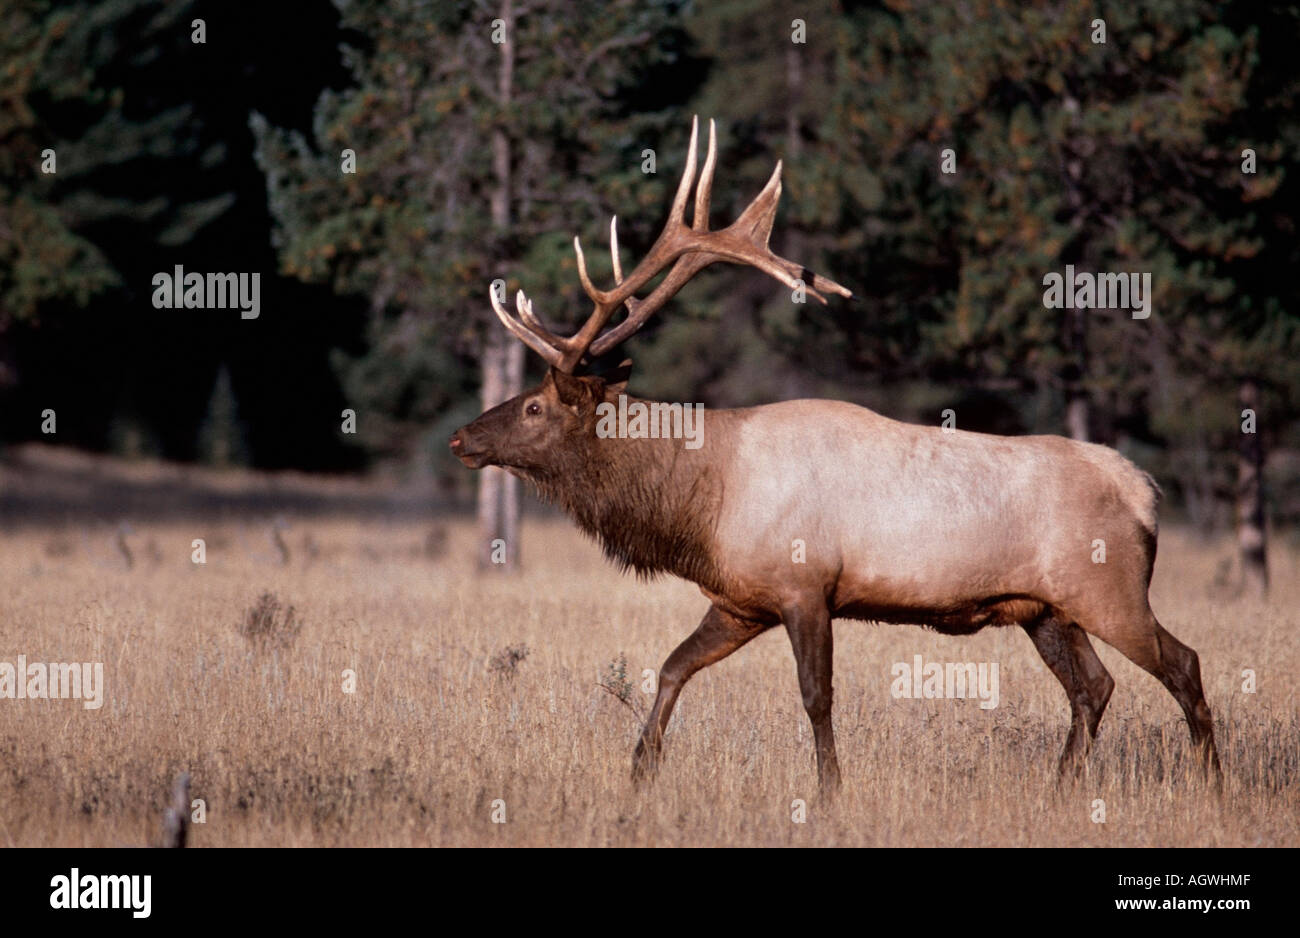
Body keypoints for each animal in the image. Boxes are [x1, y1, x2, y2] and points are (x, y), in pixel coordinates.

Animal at [450, 117, 1223, 792]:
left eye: (534, 406)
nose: (462, 438)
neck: (702, 502)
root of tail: (1147, 490)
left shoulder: (806, 585)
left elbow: (815, 695)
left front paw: (828, 789)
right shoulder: (741, 599)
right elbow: (670, 668)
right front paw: (640, 770)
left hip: (1109, 589)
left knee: (1182, 664)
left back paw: (1212, 784)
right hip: (1045, 608)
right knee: (1094, 687)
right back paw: (1062, 788)